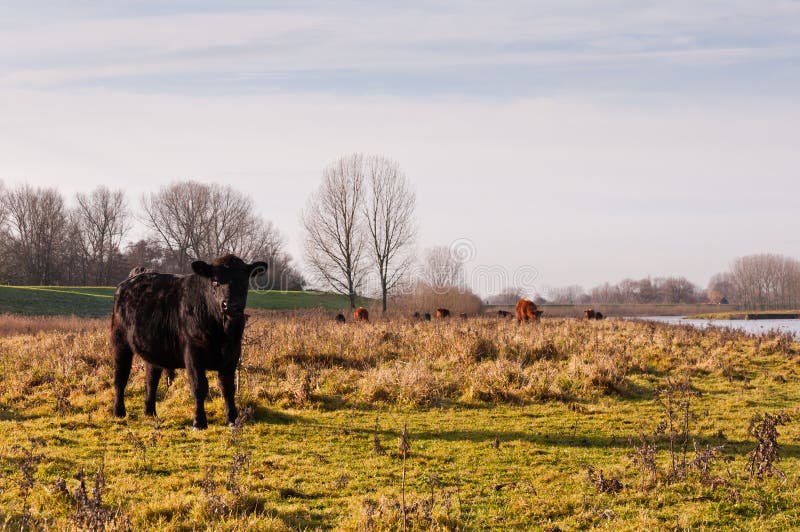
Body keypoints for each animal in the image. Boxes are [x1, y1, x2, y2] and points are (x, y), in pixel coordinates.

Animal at [111, 254, 268, 429]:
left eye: (243, 281)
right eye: (215, 282)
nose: (230, 305)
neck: (222, 331)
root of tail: (135, 276)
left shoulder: (233, 353)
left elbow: (228, 387)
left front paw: (233, 419)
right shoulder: (193, 352)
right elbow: (199, 386)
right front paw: (199, 422)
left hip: (153, 349)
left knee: (151, 379)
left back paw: (150, 412)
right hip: (119, 342)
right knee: (120, 377)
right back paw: (119, 412)